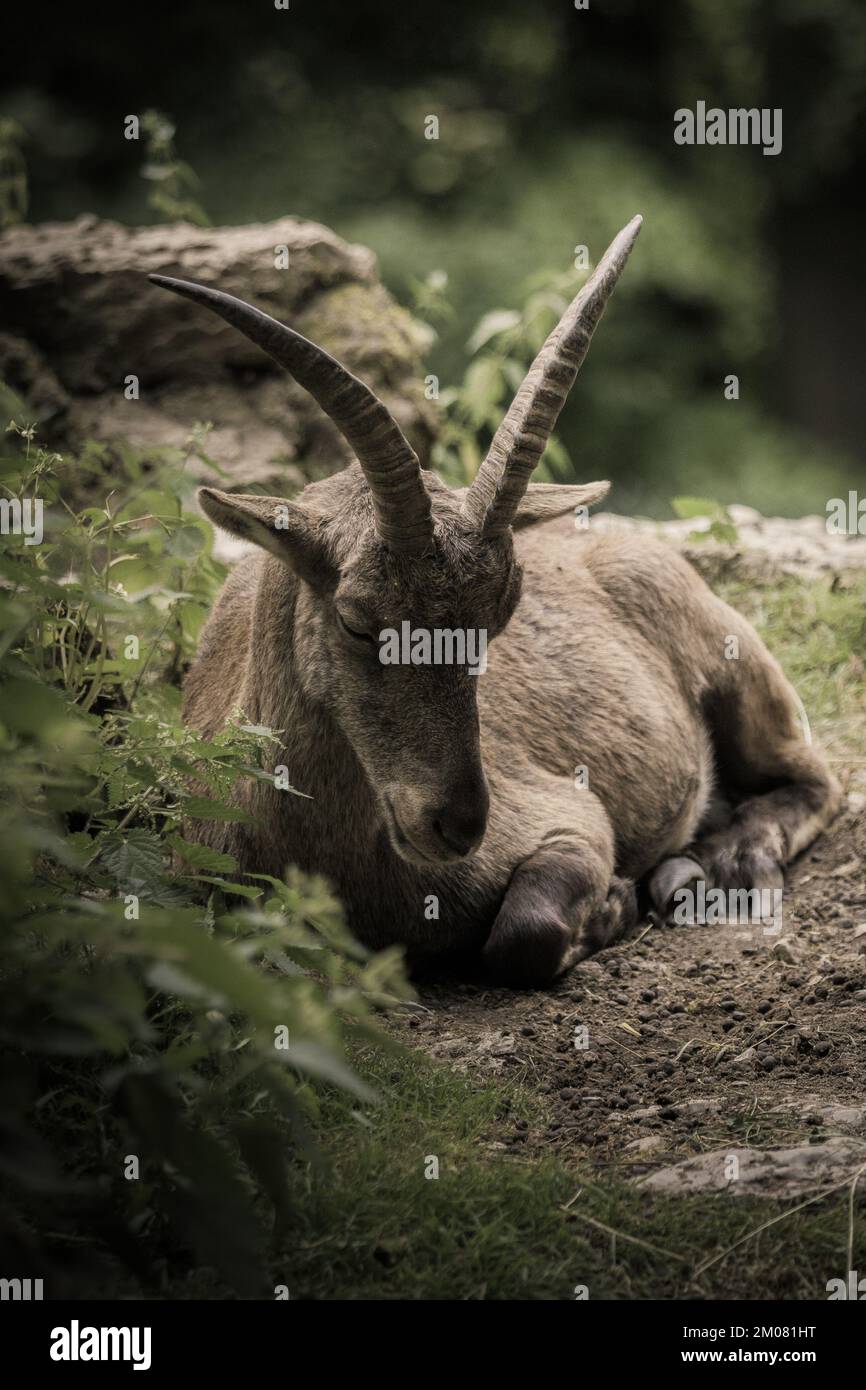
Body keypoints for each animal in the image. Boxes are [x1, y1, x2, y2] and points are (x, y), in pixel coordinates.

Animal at [150, 216, 841, 986]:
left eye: (497, 621)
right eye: (356, 621)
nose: (460, 825)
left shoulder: (569, 818)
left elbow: (524, 932)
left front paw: (614, 903)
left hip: (731, 664)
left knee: (816, 776)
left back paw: (718, 865)